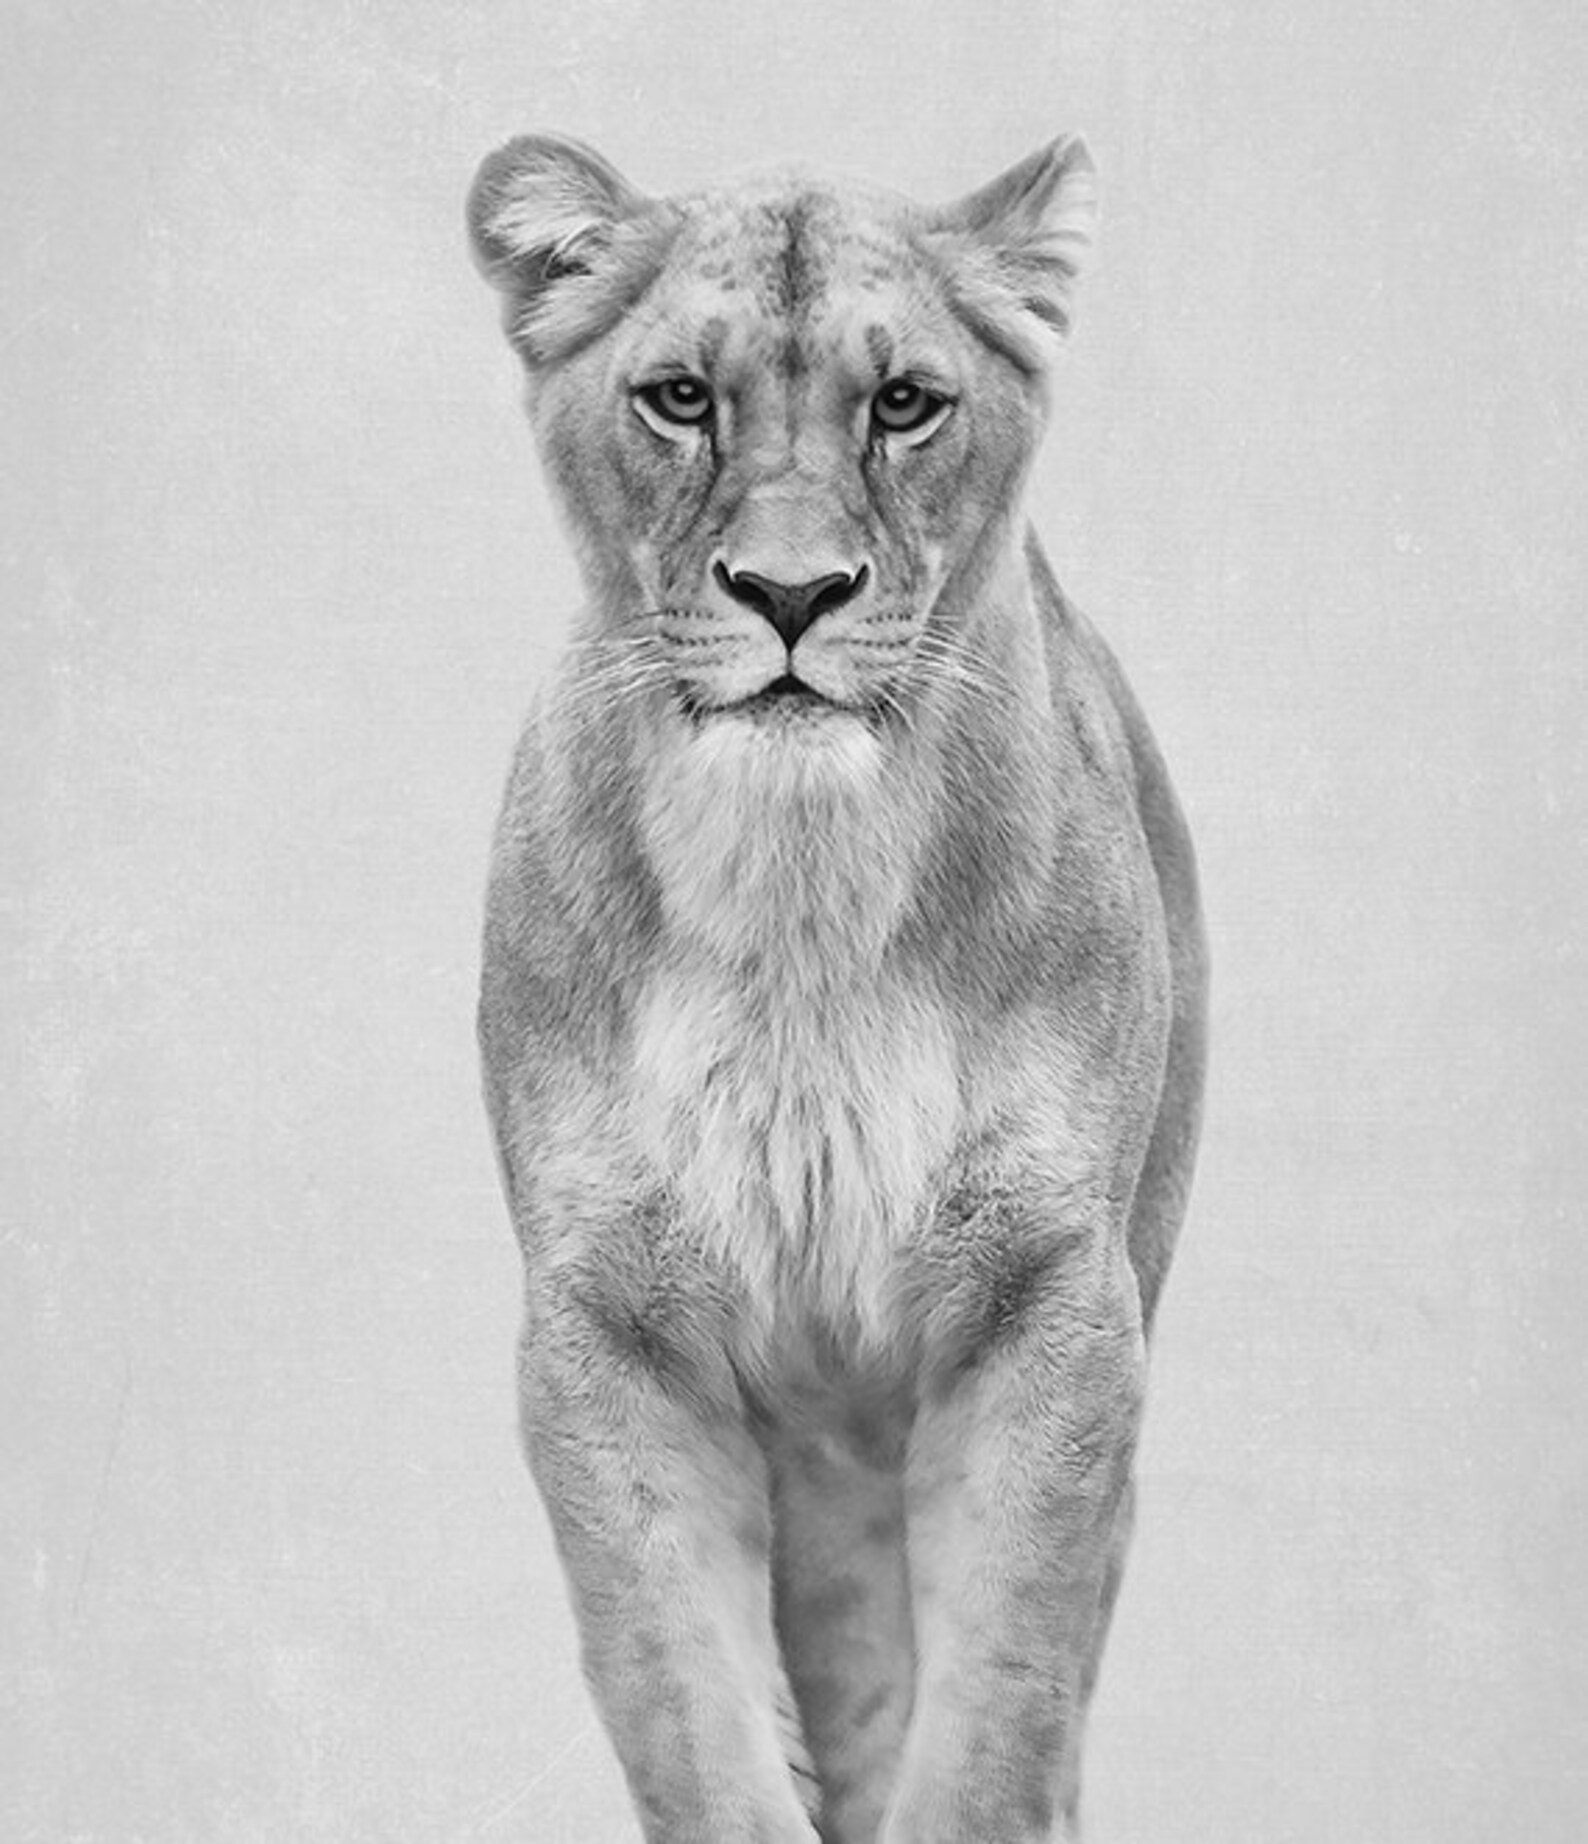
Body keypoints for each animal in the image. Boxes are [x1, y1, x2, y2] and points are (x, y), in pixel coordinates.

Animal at [467, 129, 1207, 1844]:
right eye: (681, 398)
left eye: (906, 402)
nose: (791, 595)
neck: (799, 896)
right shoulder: (606, 1325)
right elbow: (688, 1709)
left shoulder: (1053, 1298)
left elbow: (998, 1717)